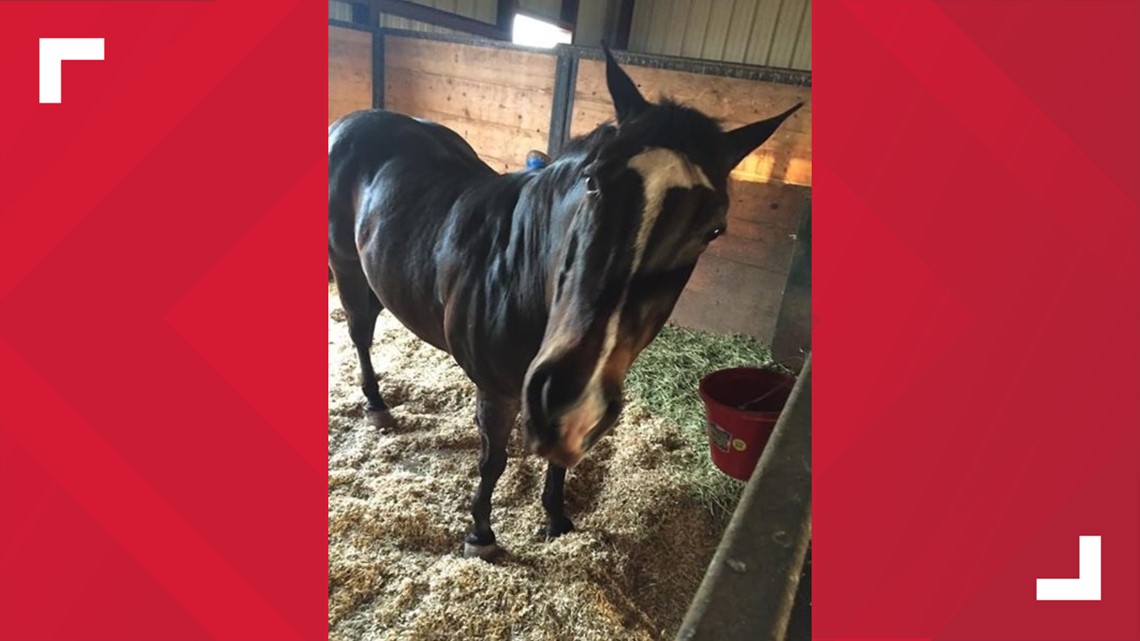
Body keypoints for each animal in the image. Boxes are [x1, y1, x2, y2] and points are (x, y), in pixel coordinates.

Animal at [328, 45, 801, 558]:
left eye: (713, 229)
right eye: (592, 181)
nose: (572, 398)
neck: (520, 270)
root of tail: (356, 119)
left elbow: (558, 463)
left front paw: (556, 518)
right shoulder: (496, 392)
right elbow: (493, 461)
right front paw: (481, 535)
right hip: (346, 267)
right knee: (360, 333)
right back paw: (377, 406)